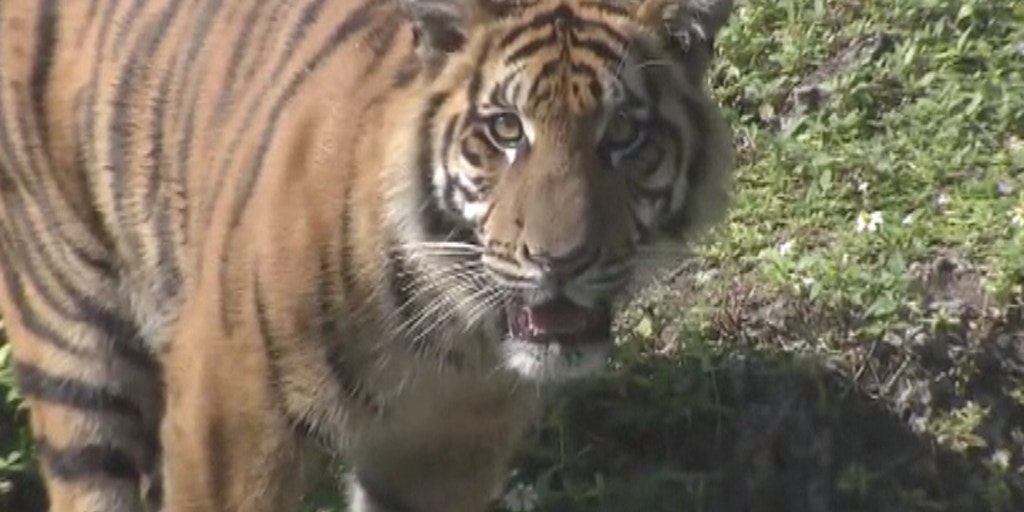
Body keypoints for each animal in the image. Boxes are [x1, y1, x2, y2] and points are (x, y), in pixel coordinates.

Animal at [0, 0, 735, 510]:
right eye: (505, 130)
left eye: (624, 134)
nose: (562, 260)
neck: (449, 337)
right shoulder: (226, 420)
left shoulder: (444, 452)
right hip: (72, 339)